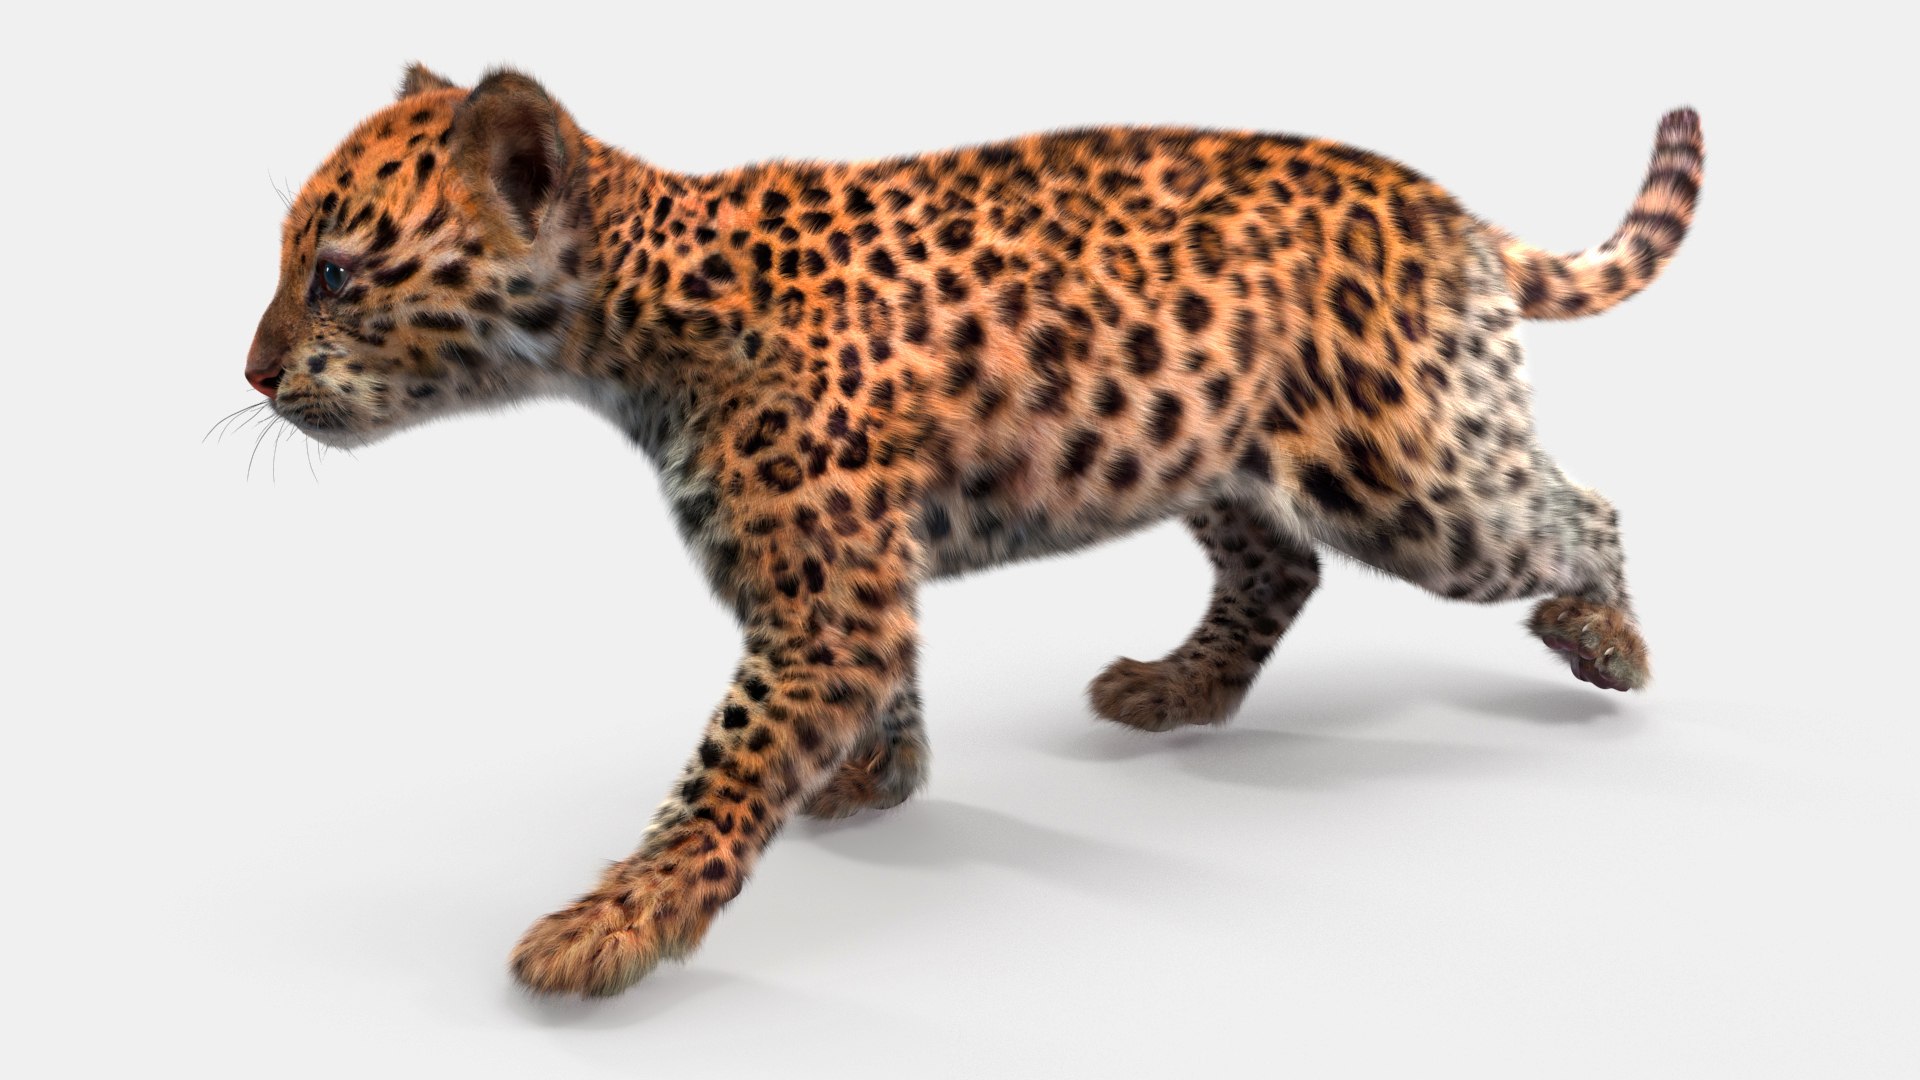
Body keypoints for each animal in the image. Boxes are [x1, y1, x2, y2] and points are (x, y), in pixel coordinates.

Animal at [243, 63, 1704, 997]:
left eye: (337, 275)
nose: (252, 374)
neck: (631, 331)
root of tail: (1447, 206)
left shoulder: (827, 598)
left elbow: (721, 766)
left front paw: (617, 925)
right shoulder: (840, 586)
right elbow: (874, 690)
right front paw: (876, 777)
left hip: (1409, 474)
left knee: (1578, 507)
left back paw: (1610, 642)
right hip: (1226, 456)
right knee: (1279, 564)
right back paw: (1177, 689)